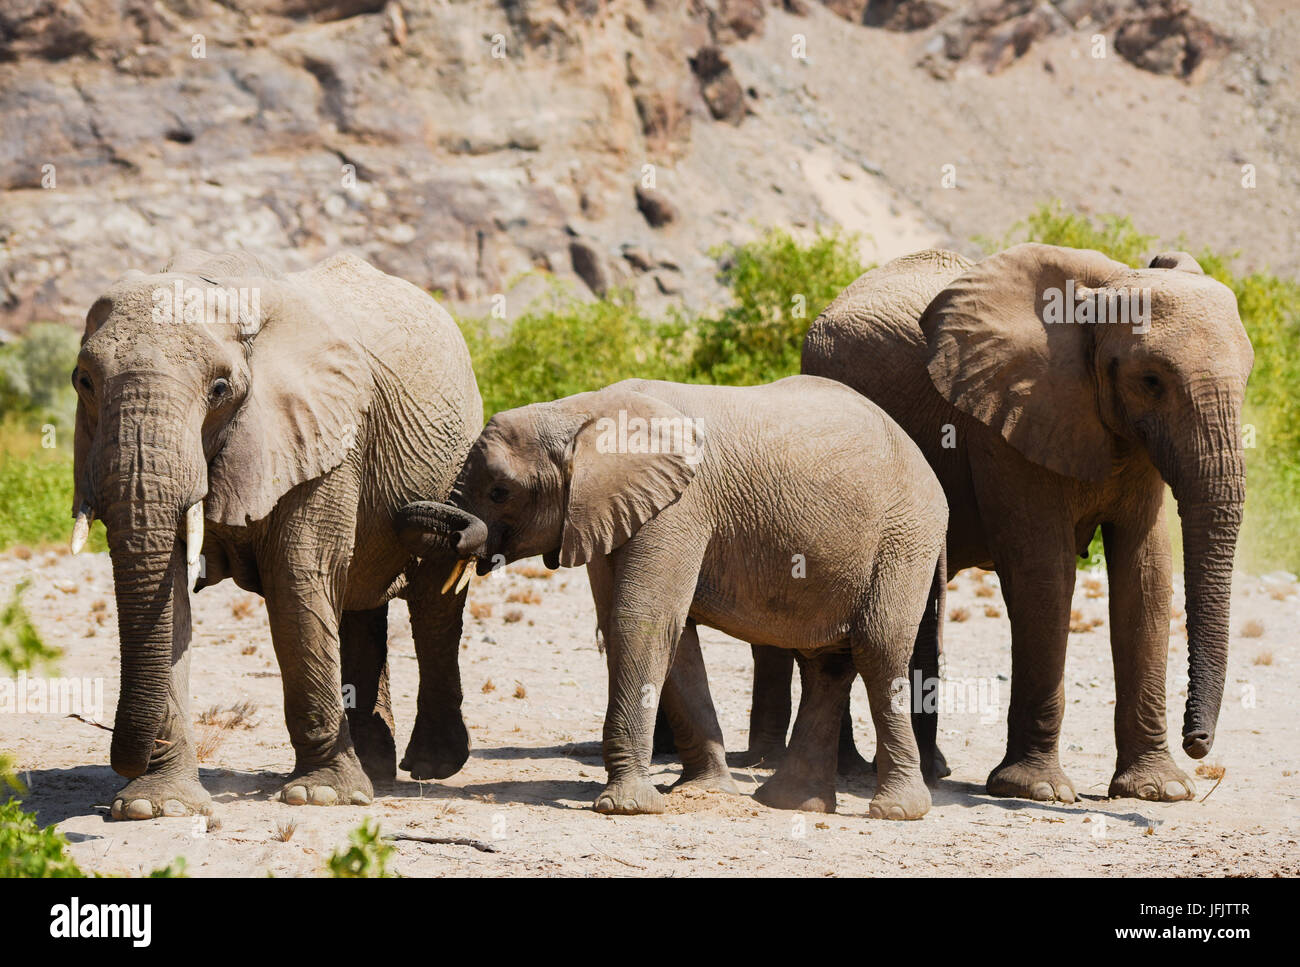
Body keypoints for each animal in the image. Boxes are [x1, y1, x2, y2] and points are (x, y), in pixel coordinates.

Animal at [70, 249, 482, 819]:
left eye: (220, 389)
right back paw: (377, 769)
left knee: (433, 602)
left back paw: (429, 767)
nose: (124, 759)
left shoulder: (326, 434)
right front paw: (156, 806)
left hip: (454, 462)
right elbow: (169, 594)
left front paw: (322, 797)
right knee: (360, 604)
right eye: (83, 381)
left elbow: (296, 579)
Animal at [397, 376, 948, 818]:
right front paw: (703, 792)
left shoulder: (680, 504)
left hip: (905, 535)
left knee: (878, 649)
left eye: (500, 491)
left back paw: (895, 812)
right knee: (826, 663)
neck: (580, 413)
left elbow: (642, 620)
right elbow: (669, 634)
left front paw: (626, 808)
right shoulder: (612, 508)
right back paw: (788, 804)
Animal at [748, 243, 1253, 805]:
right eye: (1151, 381)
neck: (1102, 292)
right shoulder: (1007, 420)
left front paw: (1159, 790)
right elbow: (1045, 575)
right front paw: (1037, 790)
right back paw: (849, 769)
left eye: (1248, 377)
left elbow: (1145, 577)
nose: (1198, 744)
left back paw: (923, 768)